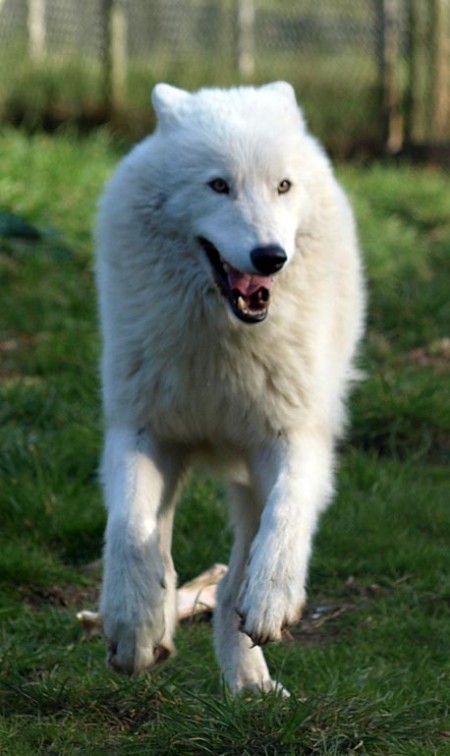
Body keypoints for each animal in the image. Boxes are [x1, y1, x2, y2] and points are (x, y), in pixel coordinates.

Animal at [95, 81, 365, 695]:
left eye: (282, 186)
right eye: (218, 185)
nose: (270, 257)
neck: (226, 345)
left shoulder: (295, 438)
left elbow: (287, 515)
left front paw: (272, 600)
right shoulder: (142, 430)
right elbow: (128, 526)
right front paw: (131, 626)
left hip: (250, 477)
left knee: (230, 580)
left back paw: (249, 683)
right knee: (165, 543)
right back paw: (160, 628)